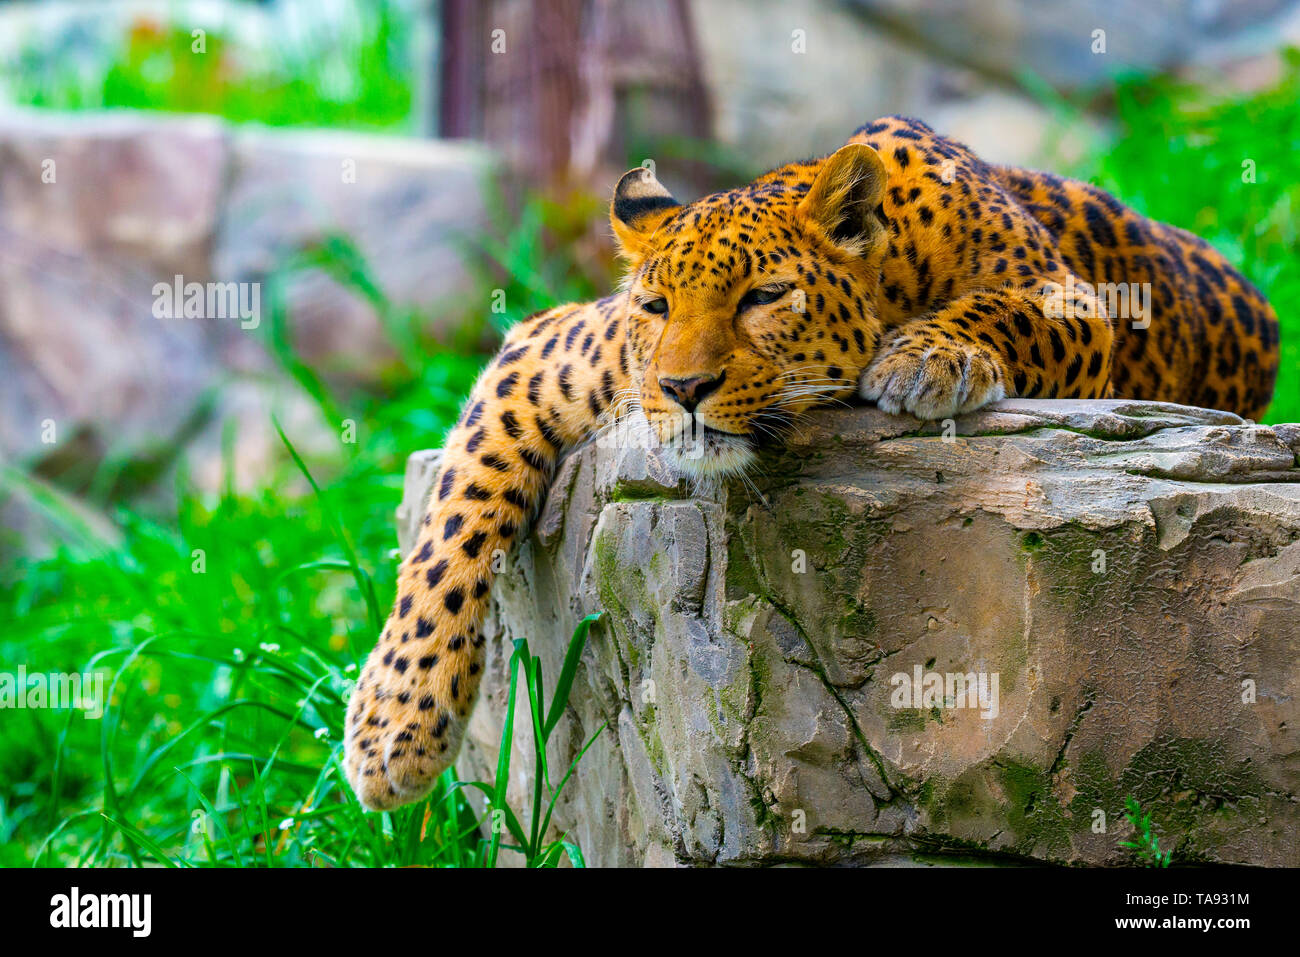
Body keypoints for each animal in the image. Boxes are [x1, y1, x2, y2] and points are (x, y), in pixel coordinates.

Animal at [344, 115, 1280, 810]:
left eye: (763, 297)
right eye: (656, 306)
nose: (682, 387)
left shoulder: (1076, 302)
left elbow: (1008, 310)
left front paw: (925, 355)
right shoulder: (553, 347)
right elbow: (452, 518)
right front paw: (391, 726)